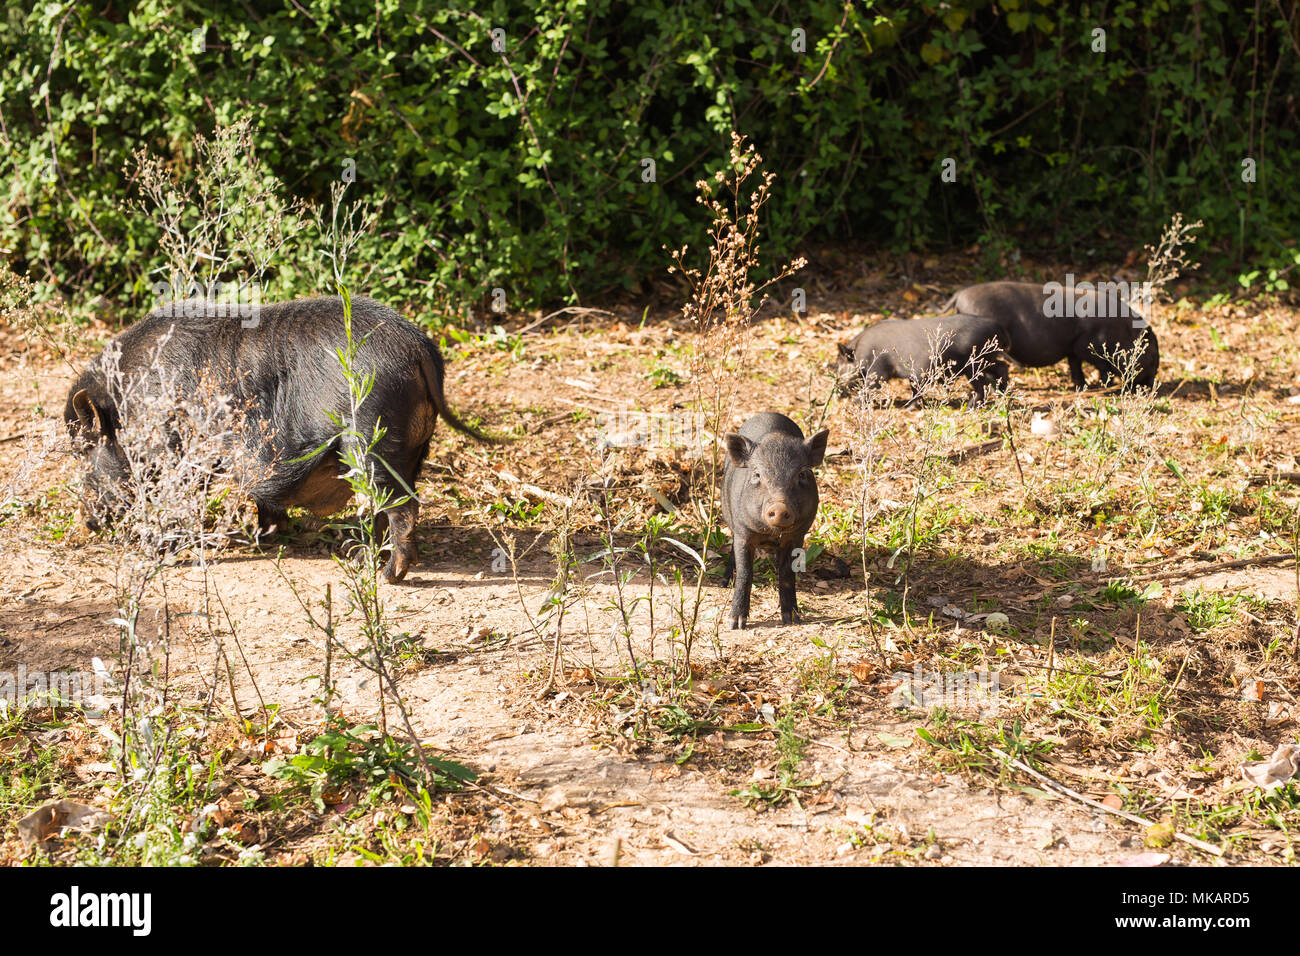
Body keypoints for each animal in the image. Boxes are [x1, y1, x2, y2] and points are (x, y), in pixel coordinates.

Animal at [64, 295, 489, 583]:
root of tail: (419, 347)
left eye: (84, 451)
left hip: (370, 440)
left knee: (402, 505)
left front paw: (160, 550)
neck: (127, 407)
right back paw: (359, 558)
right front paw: (262, 536)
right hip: (412, 447)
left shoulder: (178, 457)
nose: (86, 522)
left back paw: (387, 576)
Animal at [721, 413, 828, 629]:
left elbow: (787, 574)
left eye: (801, 474)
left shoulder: (797, 535)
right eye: (757, 474)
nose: (779, 507)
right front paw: (735, 624)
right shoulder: (743, 532)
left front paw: (792, 620)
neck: (772, 534)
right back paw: (724, 582)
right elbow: (745, 573)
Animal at [835, 314, 1010, 403]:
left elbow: (871, 386)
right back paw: (1002, 393)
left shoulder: (879, 370)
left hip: (974, 364)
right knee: (1003, 367)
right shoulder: (914, 374)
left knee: (982, 385)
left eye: (837, 365)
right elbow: (915, 389)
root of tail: (998, 327)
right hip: (987, 358)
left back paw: (972, 405)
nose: (838, 393)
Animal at [940, 280, 1158, 389]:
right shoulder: (1085, 345)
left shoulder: (1073, 349)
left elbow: (1075, 367)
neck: (1121, 332)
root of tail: (959, 295)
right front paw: (1102, 385)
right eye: (1153, 357)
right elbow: (1102, 367)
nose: (1150, 385)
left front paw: (1083, 386)